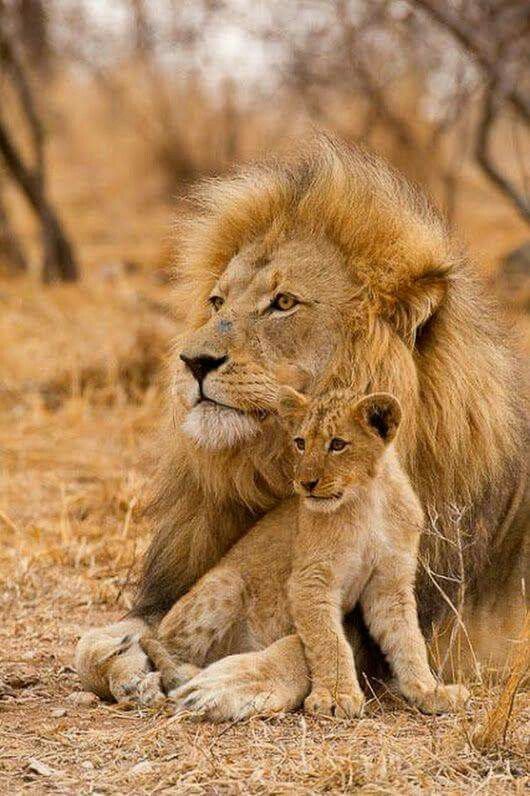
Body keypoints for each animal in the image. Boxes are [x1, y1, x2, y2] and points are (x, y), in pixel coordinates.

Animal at [139, 388, 468, 720]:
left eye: (337, 444)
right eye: (300, 442)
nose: (306, 483)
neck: (367, 501)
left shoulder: (390, 585)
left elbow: (408, 640)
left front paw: (429, 691)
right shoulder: (309, 581)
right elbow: (329, 640)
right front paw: (336, 697)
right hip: (227, 582)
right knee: (156, 643)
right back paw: (188, 677)